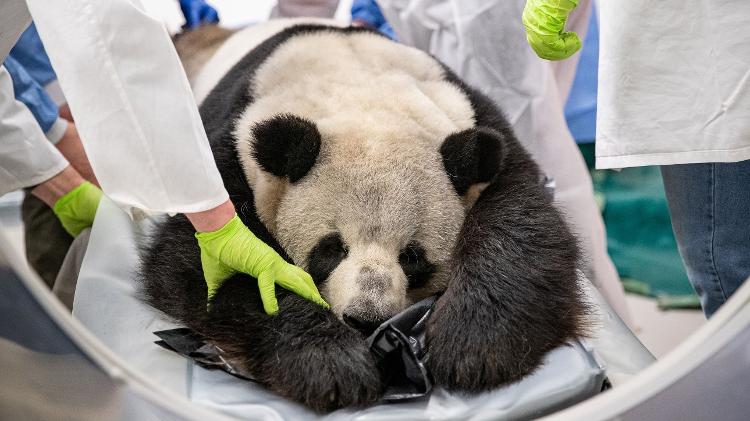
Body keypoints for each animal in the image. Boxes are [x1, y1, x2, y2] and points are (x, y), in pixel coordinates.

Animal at [140, 21, 588, 413]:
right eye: (331, 249)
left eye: (412, 257)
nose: (365, 318)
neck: (361, 89)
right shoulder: (231, 153)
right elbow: (201, 263)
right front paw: (330, 365)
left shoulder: (487, 137)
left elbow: (523, 227)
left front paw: (473, 345)